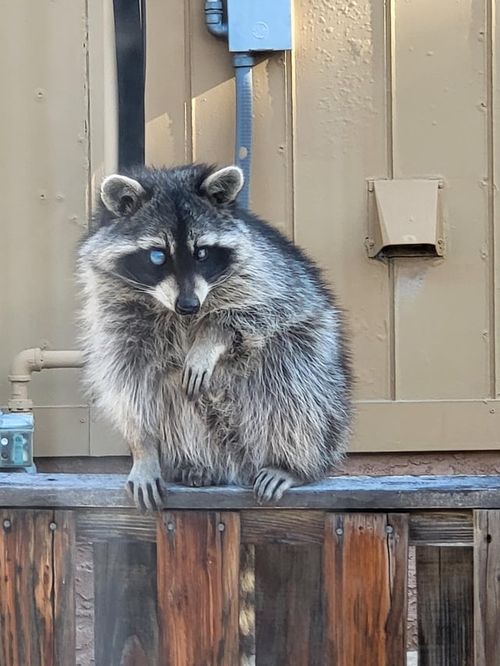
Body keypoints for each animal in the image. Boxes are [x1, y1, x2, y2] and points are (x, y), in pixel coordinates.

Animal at [77, 164, 352, 511]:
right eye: (157, 256)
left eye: (203, 253)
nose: (189, 305)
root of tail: (239, 464)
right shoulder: (116, 316)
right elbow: (130, 384)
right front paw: (143, 449)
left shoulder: (266, 274)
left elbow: (259, 311)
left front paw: (209, 339)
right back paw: (198, 465)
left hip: (314, 360)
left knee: (290, 378)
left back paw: (293, 465)